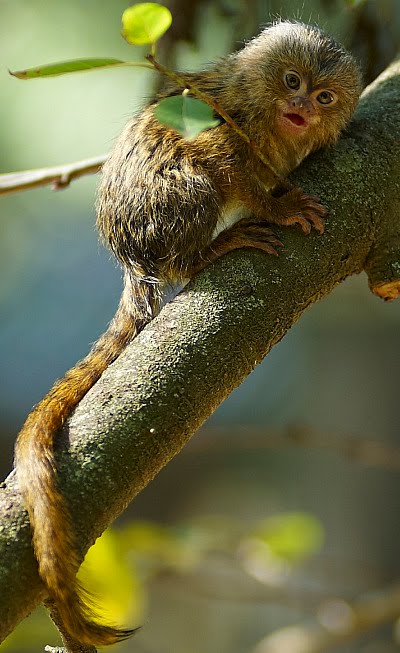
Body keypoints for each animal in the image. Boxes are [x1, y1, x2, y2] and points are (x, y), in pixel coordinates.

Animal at [14, 20, 362, 650]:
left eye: (324, 97)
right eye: (292, 81)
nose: (302, 108)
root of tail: (128, 252)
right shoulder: (231, 125)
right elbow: (214, 158)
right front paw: (279, 209)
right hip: (165, 208)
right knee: (192, 186)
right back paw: (214, 248)